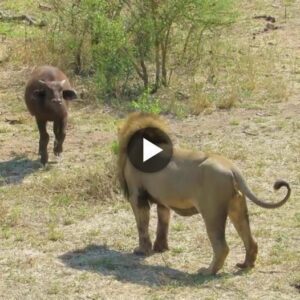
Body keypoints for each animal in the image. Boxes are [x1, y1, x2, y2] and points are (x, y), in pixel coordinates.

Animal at [117, 112, 290, 274]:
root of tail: (231, 168)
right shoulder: (162, 201)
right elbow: (163, 223)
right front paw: (160, 248)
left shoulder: (136, 195)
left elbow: (142, 225)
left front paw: (141, 251)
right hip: (237, 207)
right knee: (250, 240)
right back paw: (245, 264)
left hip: (212, 212)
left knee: (221, 246)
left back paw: (207, 271)